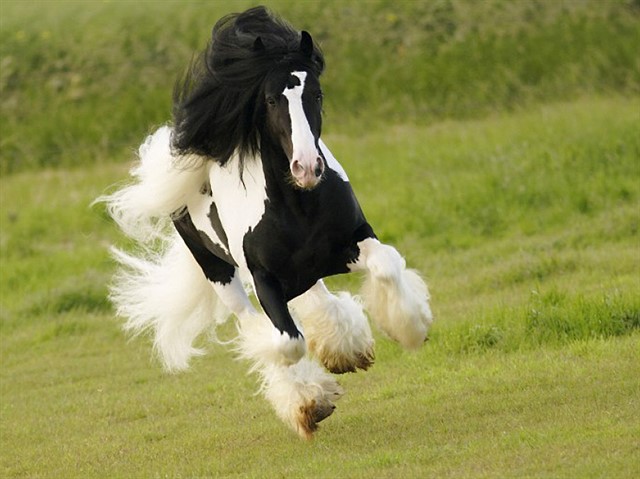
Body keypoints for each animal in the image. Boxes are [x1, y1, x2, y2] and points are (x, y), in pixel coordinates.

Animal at [99, 6, 432, 439]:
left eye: (316, 94)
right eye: (272, 99)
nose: (307, 167)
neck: (298, 206)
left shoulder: (355, 240)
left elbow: (387, 265)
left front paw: (410, 328)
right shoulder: (264, 280)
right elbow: (286, 343)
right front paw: (310, 404)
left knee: (314, 295)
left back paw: (344, 349)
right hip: (219, 272)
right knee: (253, 324)